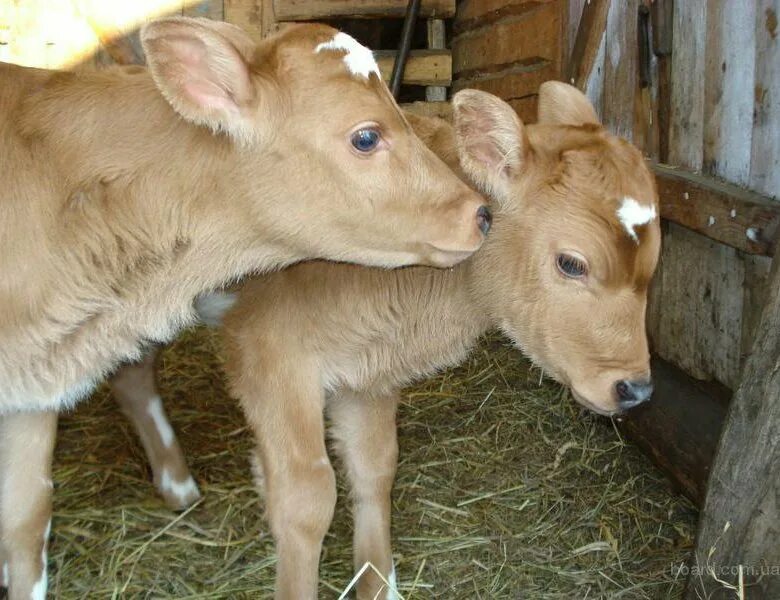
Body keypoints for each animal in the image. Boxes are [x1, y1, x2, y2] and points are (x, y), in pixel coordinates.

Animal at [112, 82, 660, 596]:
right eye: (571, 263)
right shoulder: (267, 347)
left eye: (654, 267)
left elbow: (375, 467)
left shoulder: (369, 367)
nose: (636, 389)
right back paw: (178, 483)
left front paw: (380, 584)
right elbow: (307, 497)